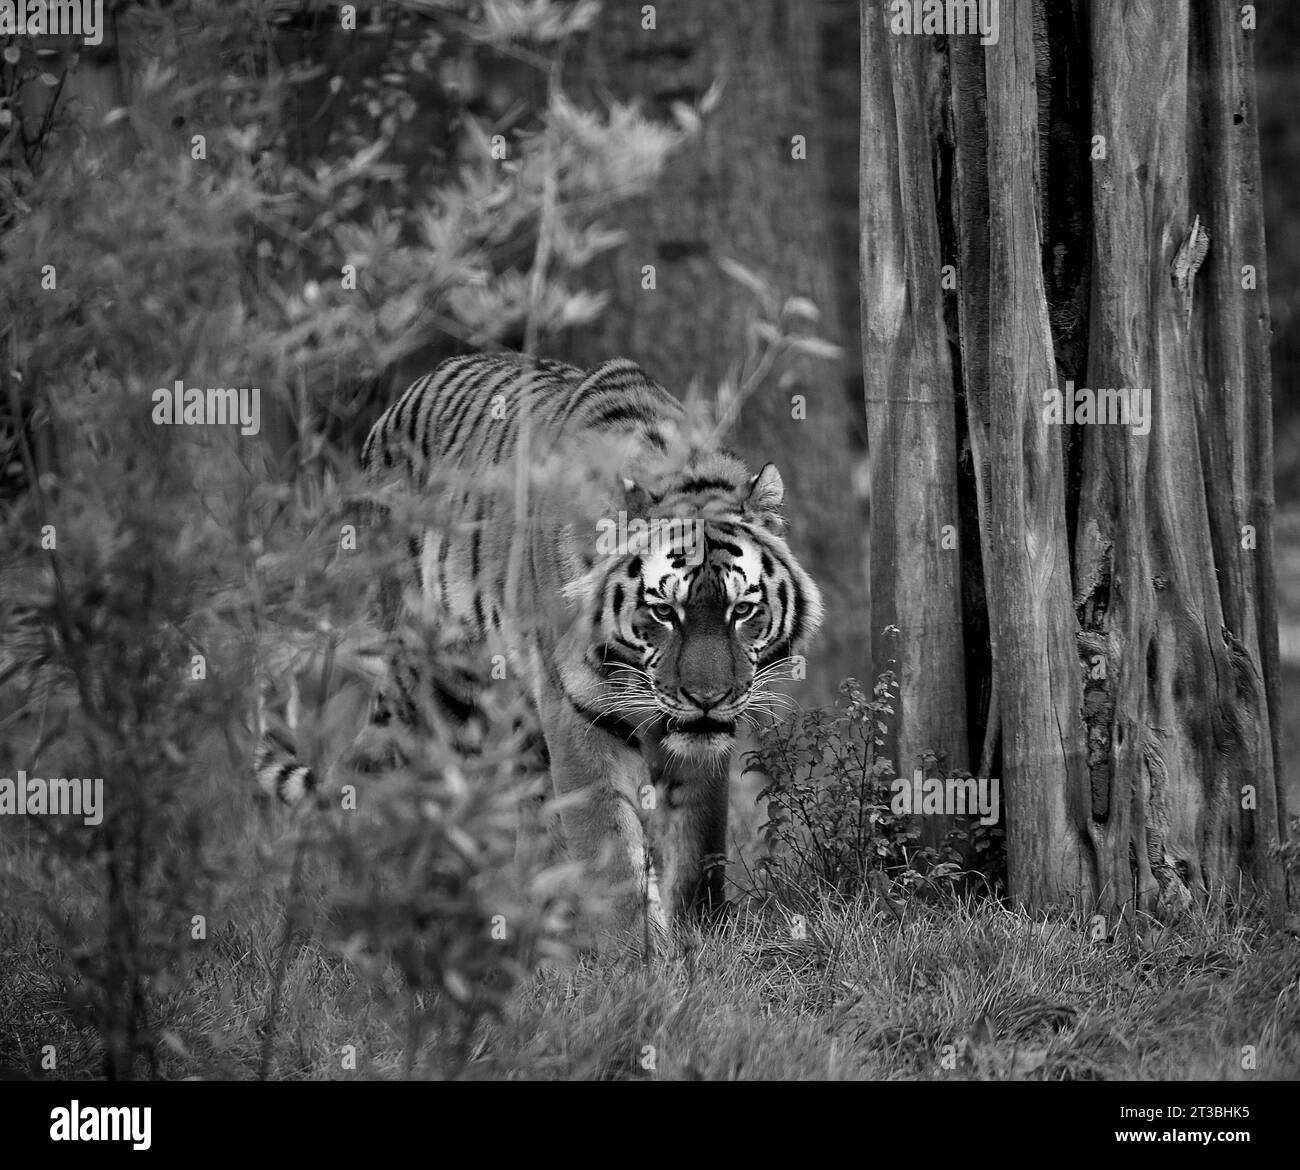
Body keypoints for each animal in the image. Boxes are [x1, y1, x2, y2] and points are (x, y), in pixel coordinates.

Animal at [259, 353, 823, 950]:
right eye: (664, 612)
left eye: (742, 609)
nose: (708, 698)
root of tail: (394, 406)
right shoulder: (576, 712)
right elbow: (610, 849)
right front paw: (636, 959)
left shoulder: (697, 740)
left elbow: (698, 841)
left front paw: (701, 934)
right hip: (434, 690)